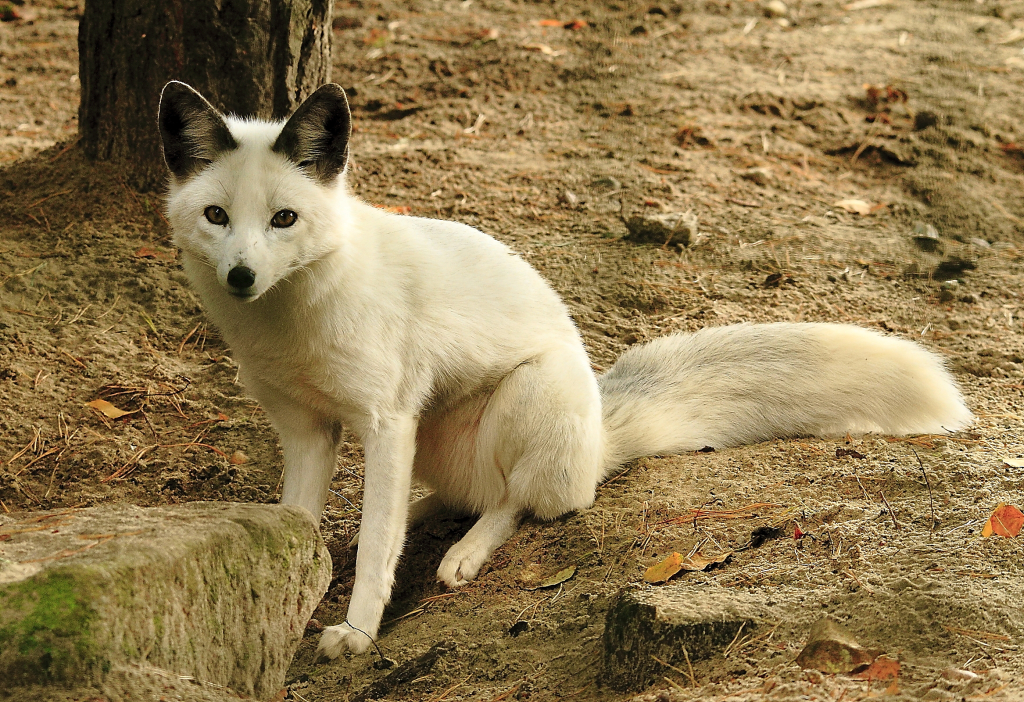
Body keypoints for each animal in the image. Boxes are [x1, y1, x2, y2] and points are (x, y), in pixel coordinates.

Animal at [157, 81, 973, 660]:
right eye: (218, 216)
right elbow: (300, 525)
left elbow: (381, 556)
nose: (240, 276)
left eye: (285, 219)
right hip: (436, 432)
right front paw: (291, 597)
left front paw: (355, 634)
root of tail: (599, 435)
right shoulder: (307, 431)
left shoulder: (385, 419)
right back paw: (422, 515)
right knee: (455, 497)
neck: (287, 324)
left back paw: (465, 551)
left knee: (520, 501)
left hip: (523, 397)